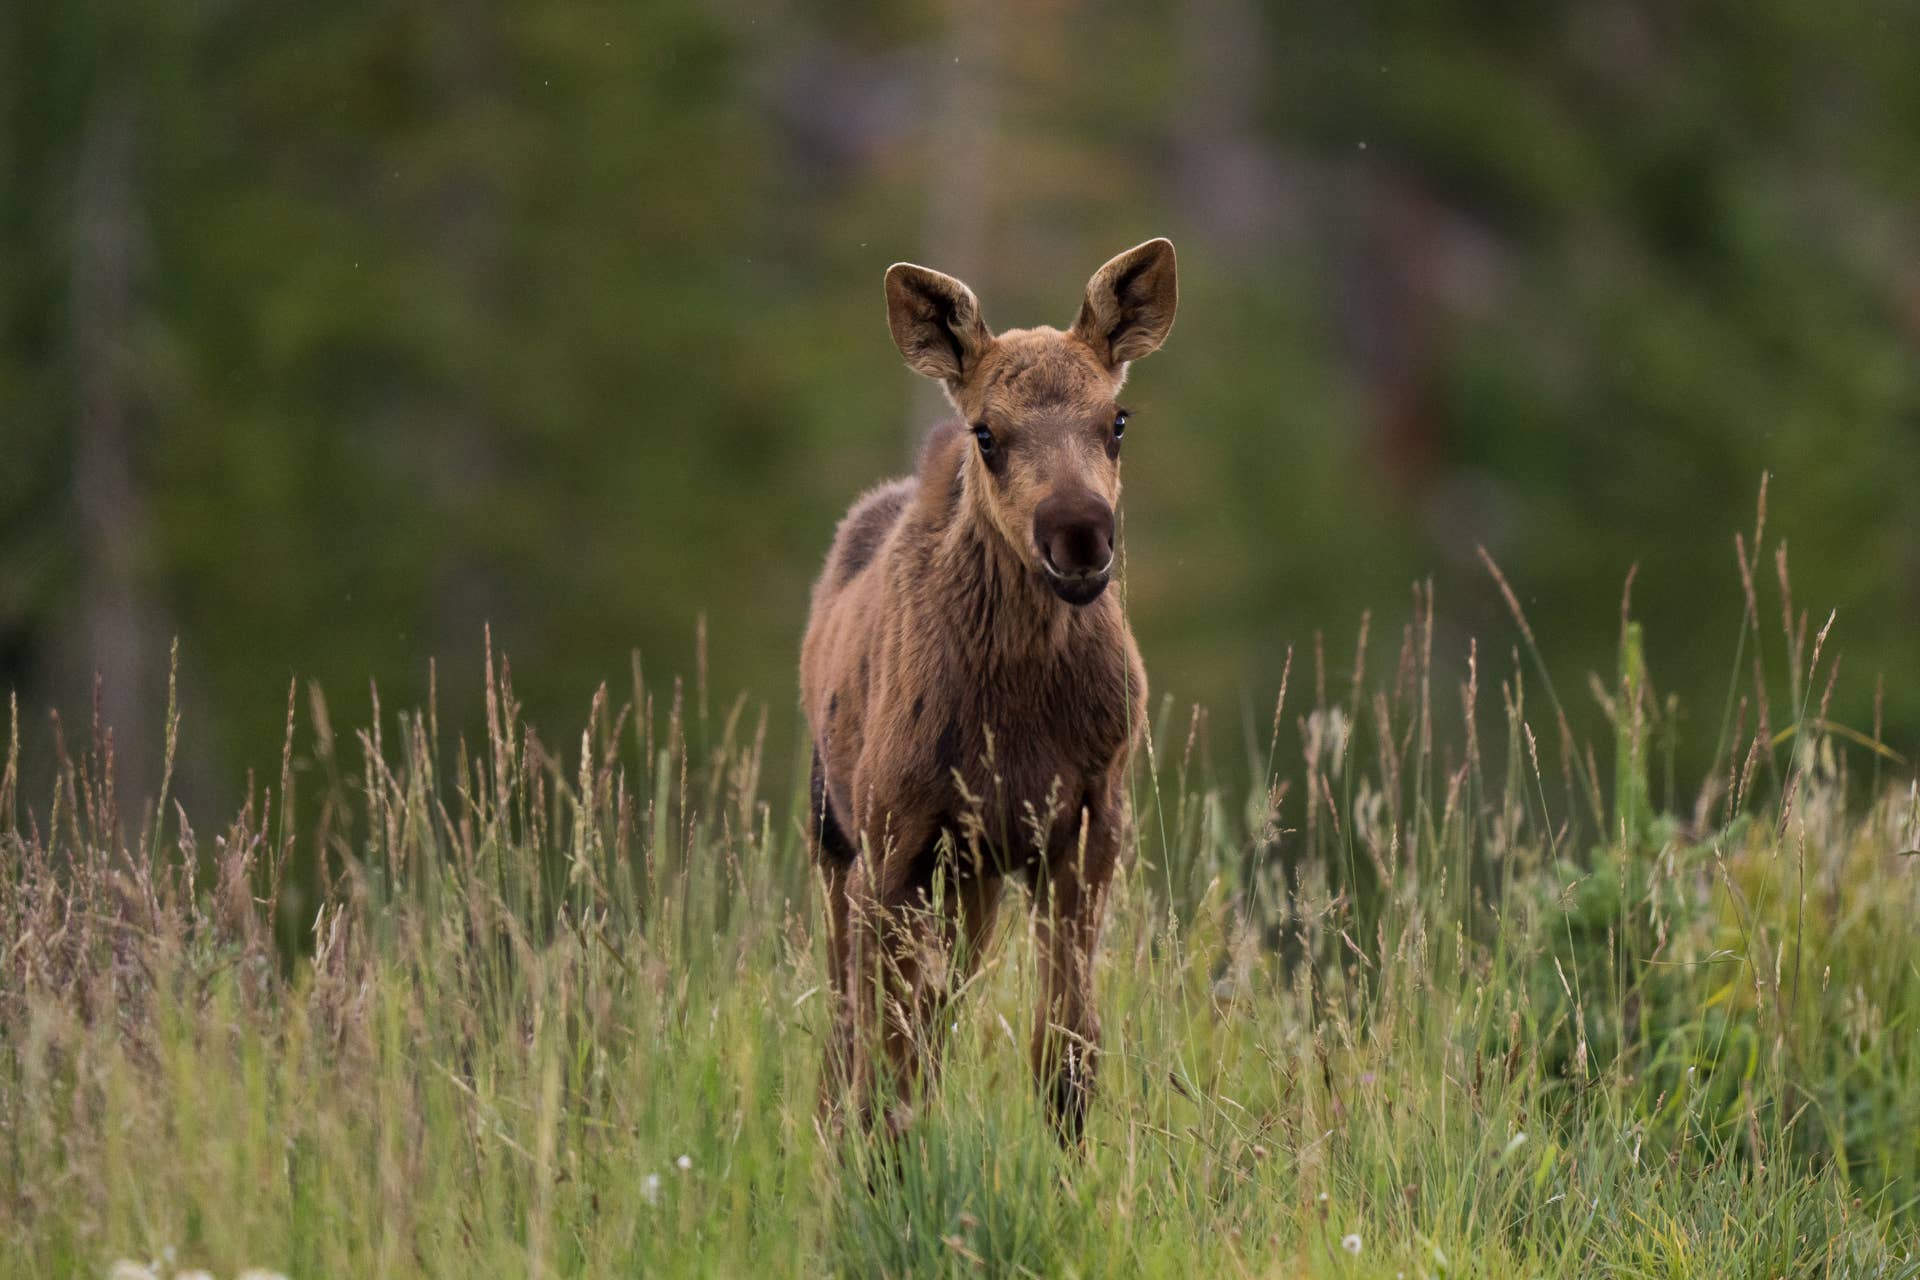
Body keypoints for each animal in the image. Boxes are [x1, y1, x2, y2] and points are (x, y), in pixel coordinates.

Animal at [800, 239, 1178, 1143]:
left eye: (1116, 420)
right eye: (987, 432)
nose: (1079, 531)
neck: (1018, 715)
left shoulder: (1084, 827)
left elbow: (1066, 1051)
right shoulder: (893, 844)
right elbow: (885, 1064)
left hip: (974, 880)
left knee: (935, 1015)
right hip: (836, 835)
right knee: (847, 1037)